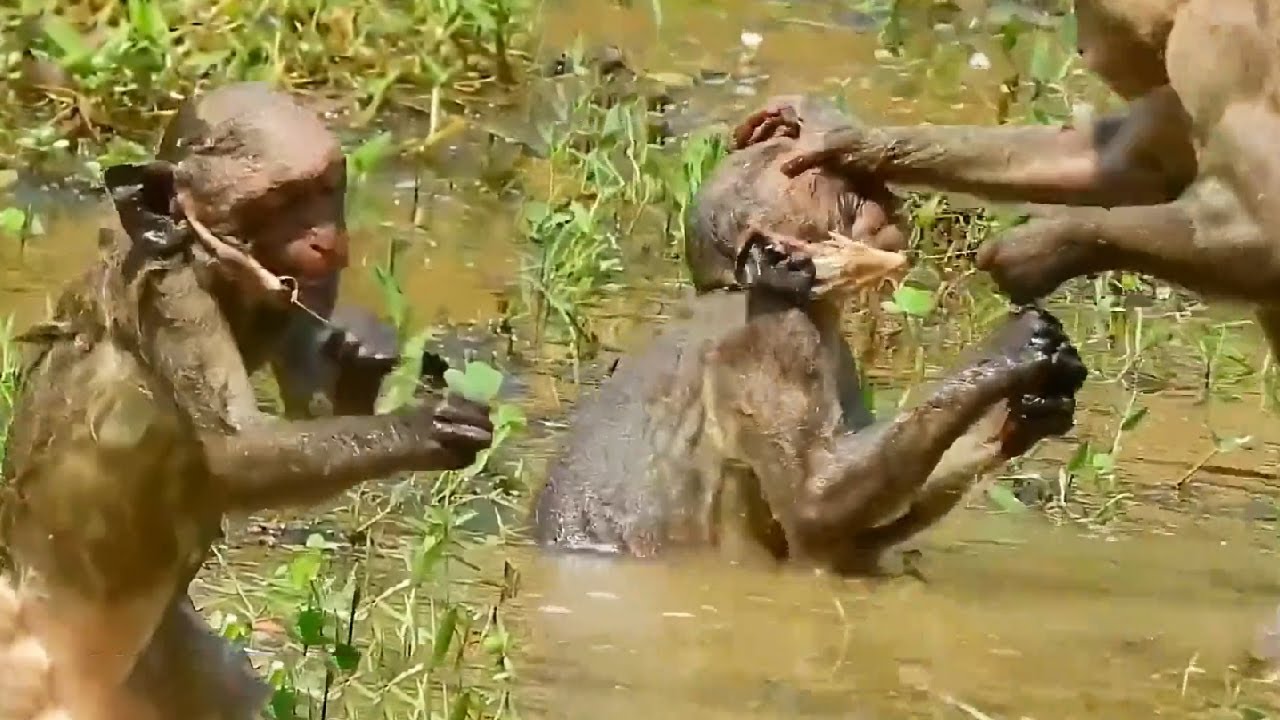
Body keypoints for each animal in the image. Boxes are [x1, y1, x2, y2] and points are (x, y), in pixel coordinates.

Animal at [0, 82, 495, 720]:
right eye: (282, 200)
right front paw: (424, 427)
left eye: (325, 190)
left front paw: (363, 350)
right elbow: (234, 451)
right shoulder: (174, 296)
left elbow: (309, 413)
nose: (324, 239)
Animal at [530, 103, 1088, 573]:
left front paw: (1028, 412)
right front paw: (1015, 348)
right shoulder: (774, 339)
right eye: (849, 195)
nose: (889, 202)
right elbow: (812, 505)